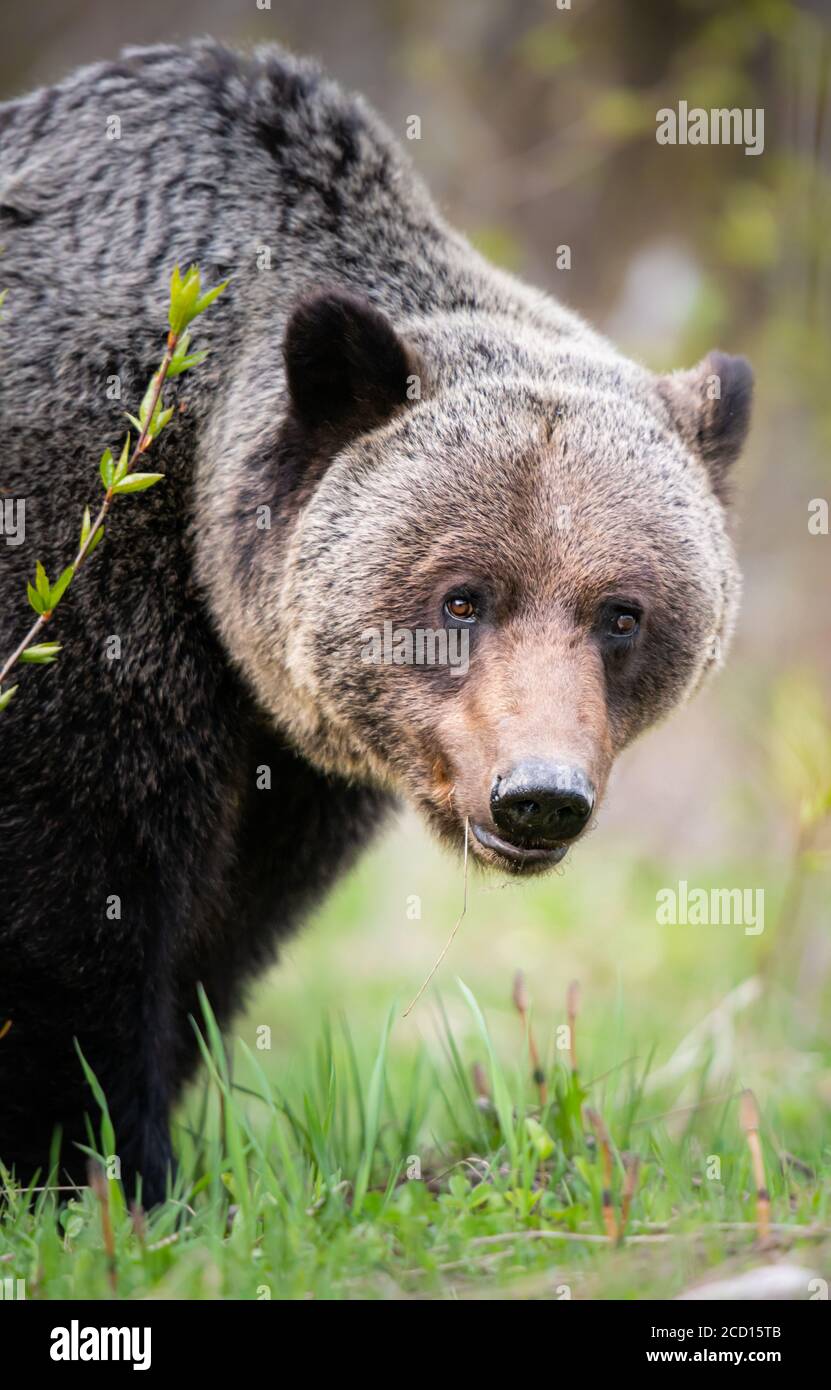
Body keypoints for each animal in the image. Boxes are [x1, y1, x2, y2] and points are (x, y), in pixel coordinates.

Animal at [0, 40, 752, 1205]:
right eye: (462, 595)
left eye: (621, 614)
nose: (540, 797)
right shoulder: (75, 588)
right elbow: (76, 917)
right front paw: (95, 1167)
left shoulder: (293, 762)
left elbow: (222, 931)